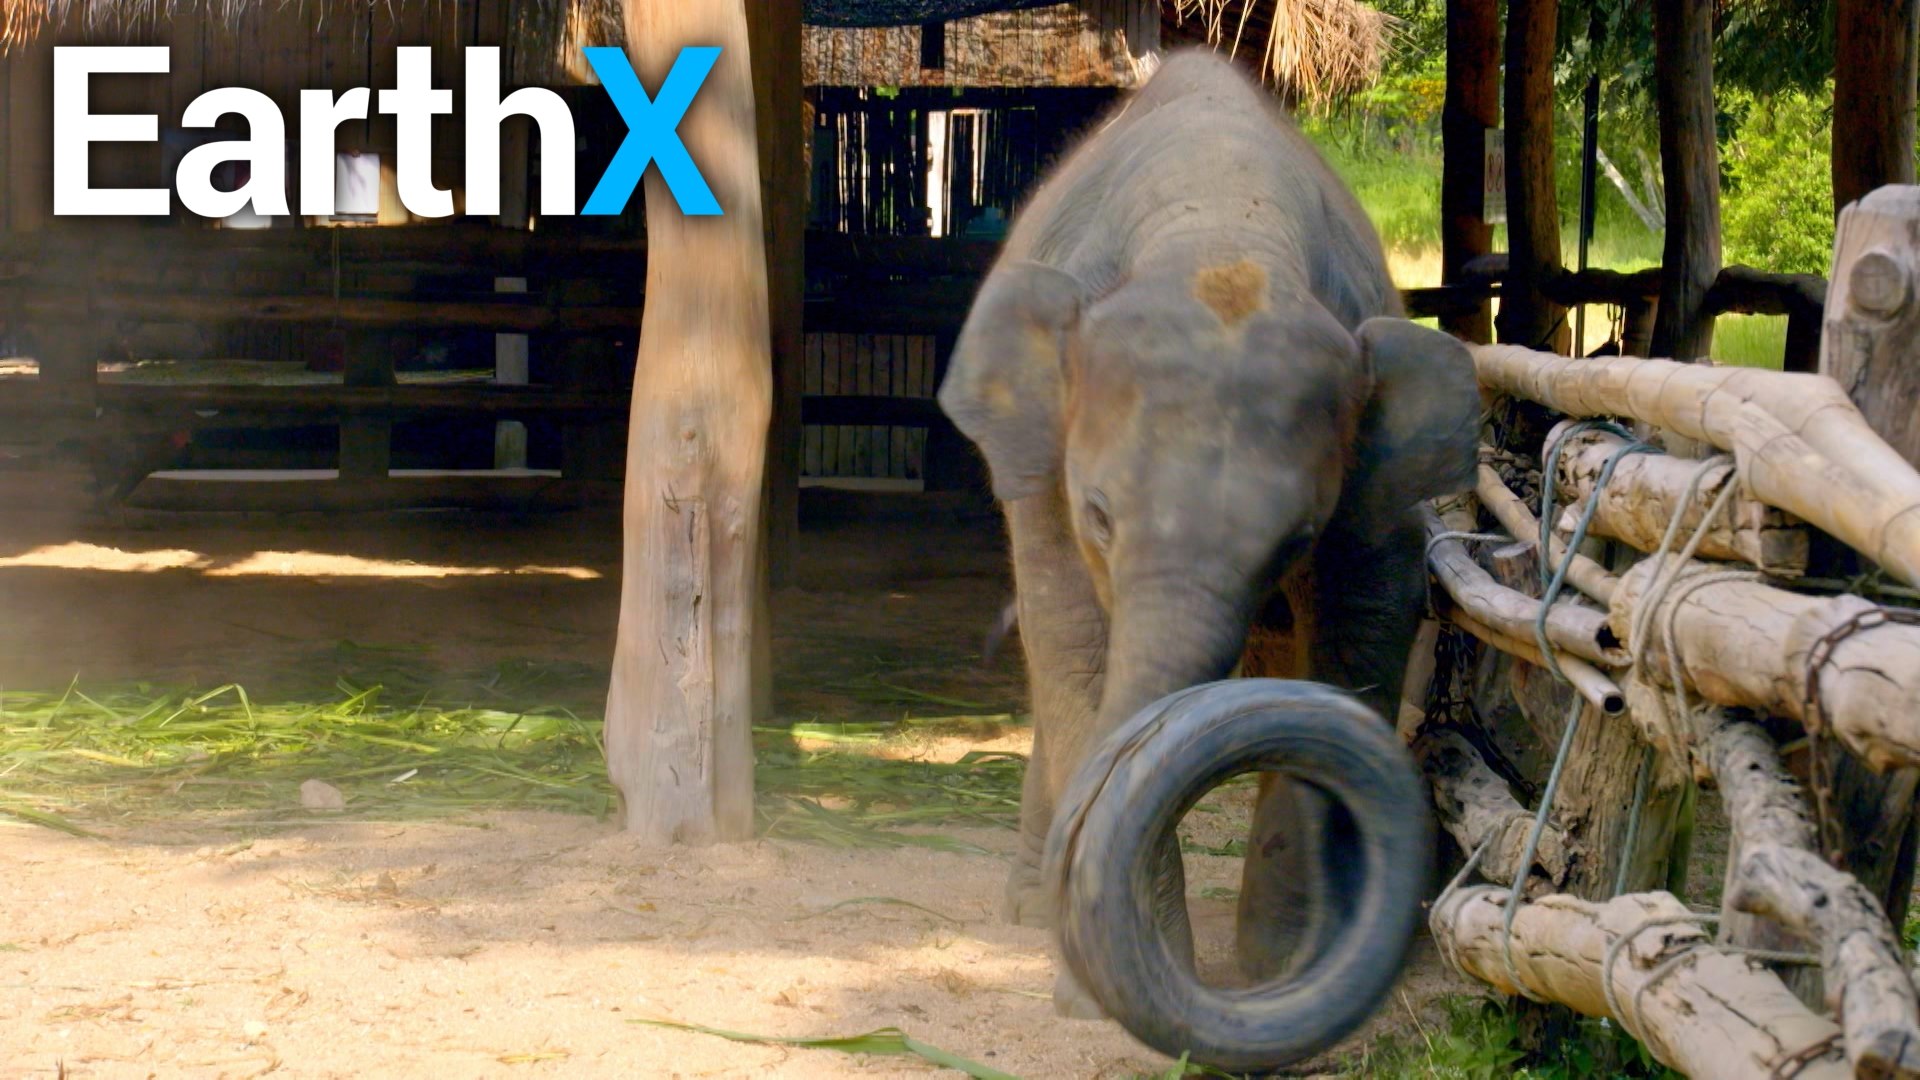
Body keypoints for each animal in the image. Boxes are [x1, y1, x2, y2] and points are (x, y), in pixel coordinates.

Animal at [935, 49, 1482, 1024]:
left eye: (1296, 538)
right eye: (1099, 515)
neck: (1219, 226)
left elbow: (1361, 633)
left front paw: (1282, 961)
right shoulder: (1043, 478)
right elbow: (1074, 642)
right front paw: (1086, 988)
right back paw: (1029, 905)